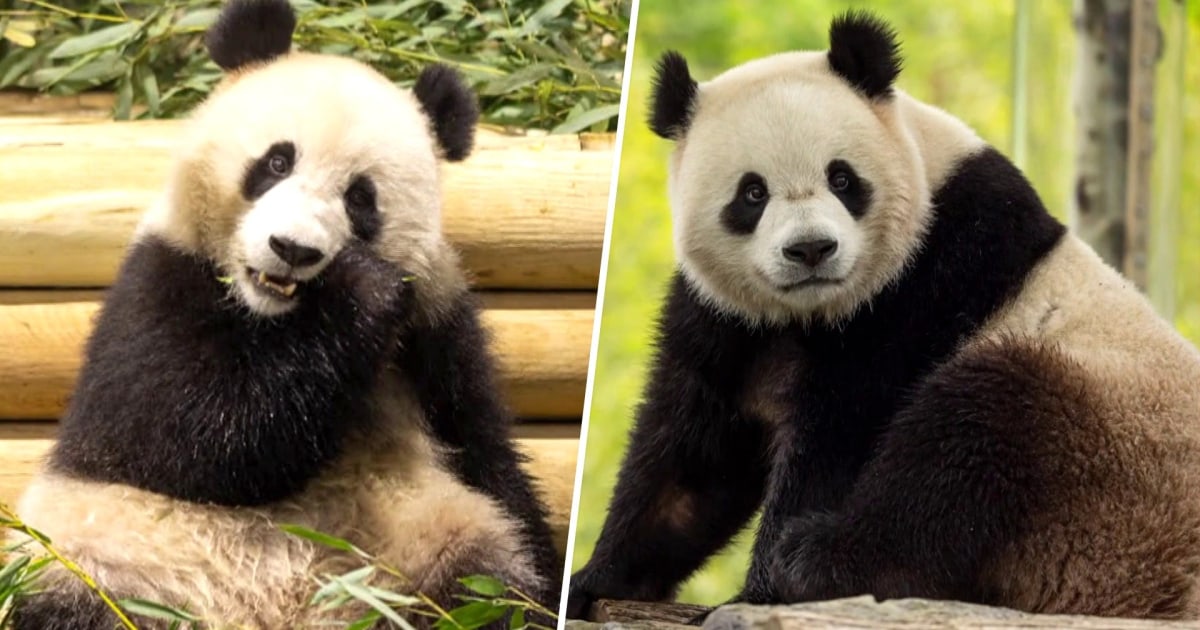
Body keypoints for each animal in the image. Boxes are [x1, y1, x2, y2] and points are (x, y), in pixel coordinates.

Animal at [10, 1, 560, 627]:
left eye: (361, 198)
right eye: (276, 161)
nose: (293, 249)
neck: (281, 320)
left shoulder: (438, 329)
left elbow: (488, 455)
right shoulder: (157, 284)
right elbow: (190, 435)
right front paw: (361, 290)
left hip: (425, 548)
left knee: (485, 587)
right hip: (105, 560)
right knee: (70, 600)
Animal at [569, 11, 1200, 621]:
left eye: (842, 178)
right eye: (752, 193)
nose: (811, 250)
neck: (810, 313)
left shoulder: (925, 283)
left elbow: (840, 439)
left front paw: (758, 593)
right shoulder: (728, 320)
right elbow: (692, 460)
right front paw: (595, 580)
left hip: (1111, 455)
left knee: (975, 433)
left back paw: (818, 558)